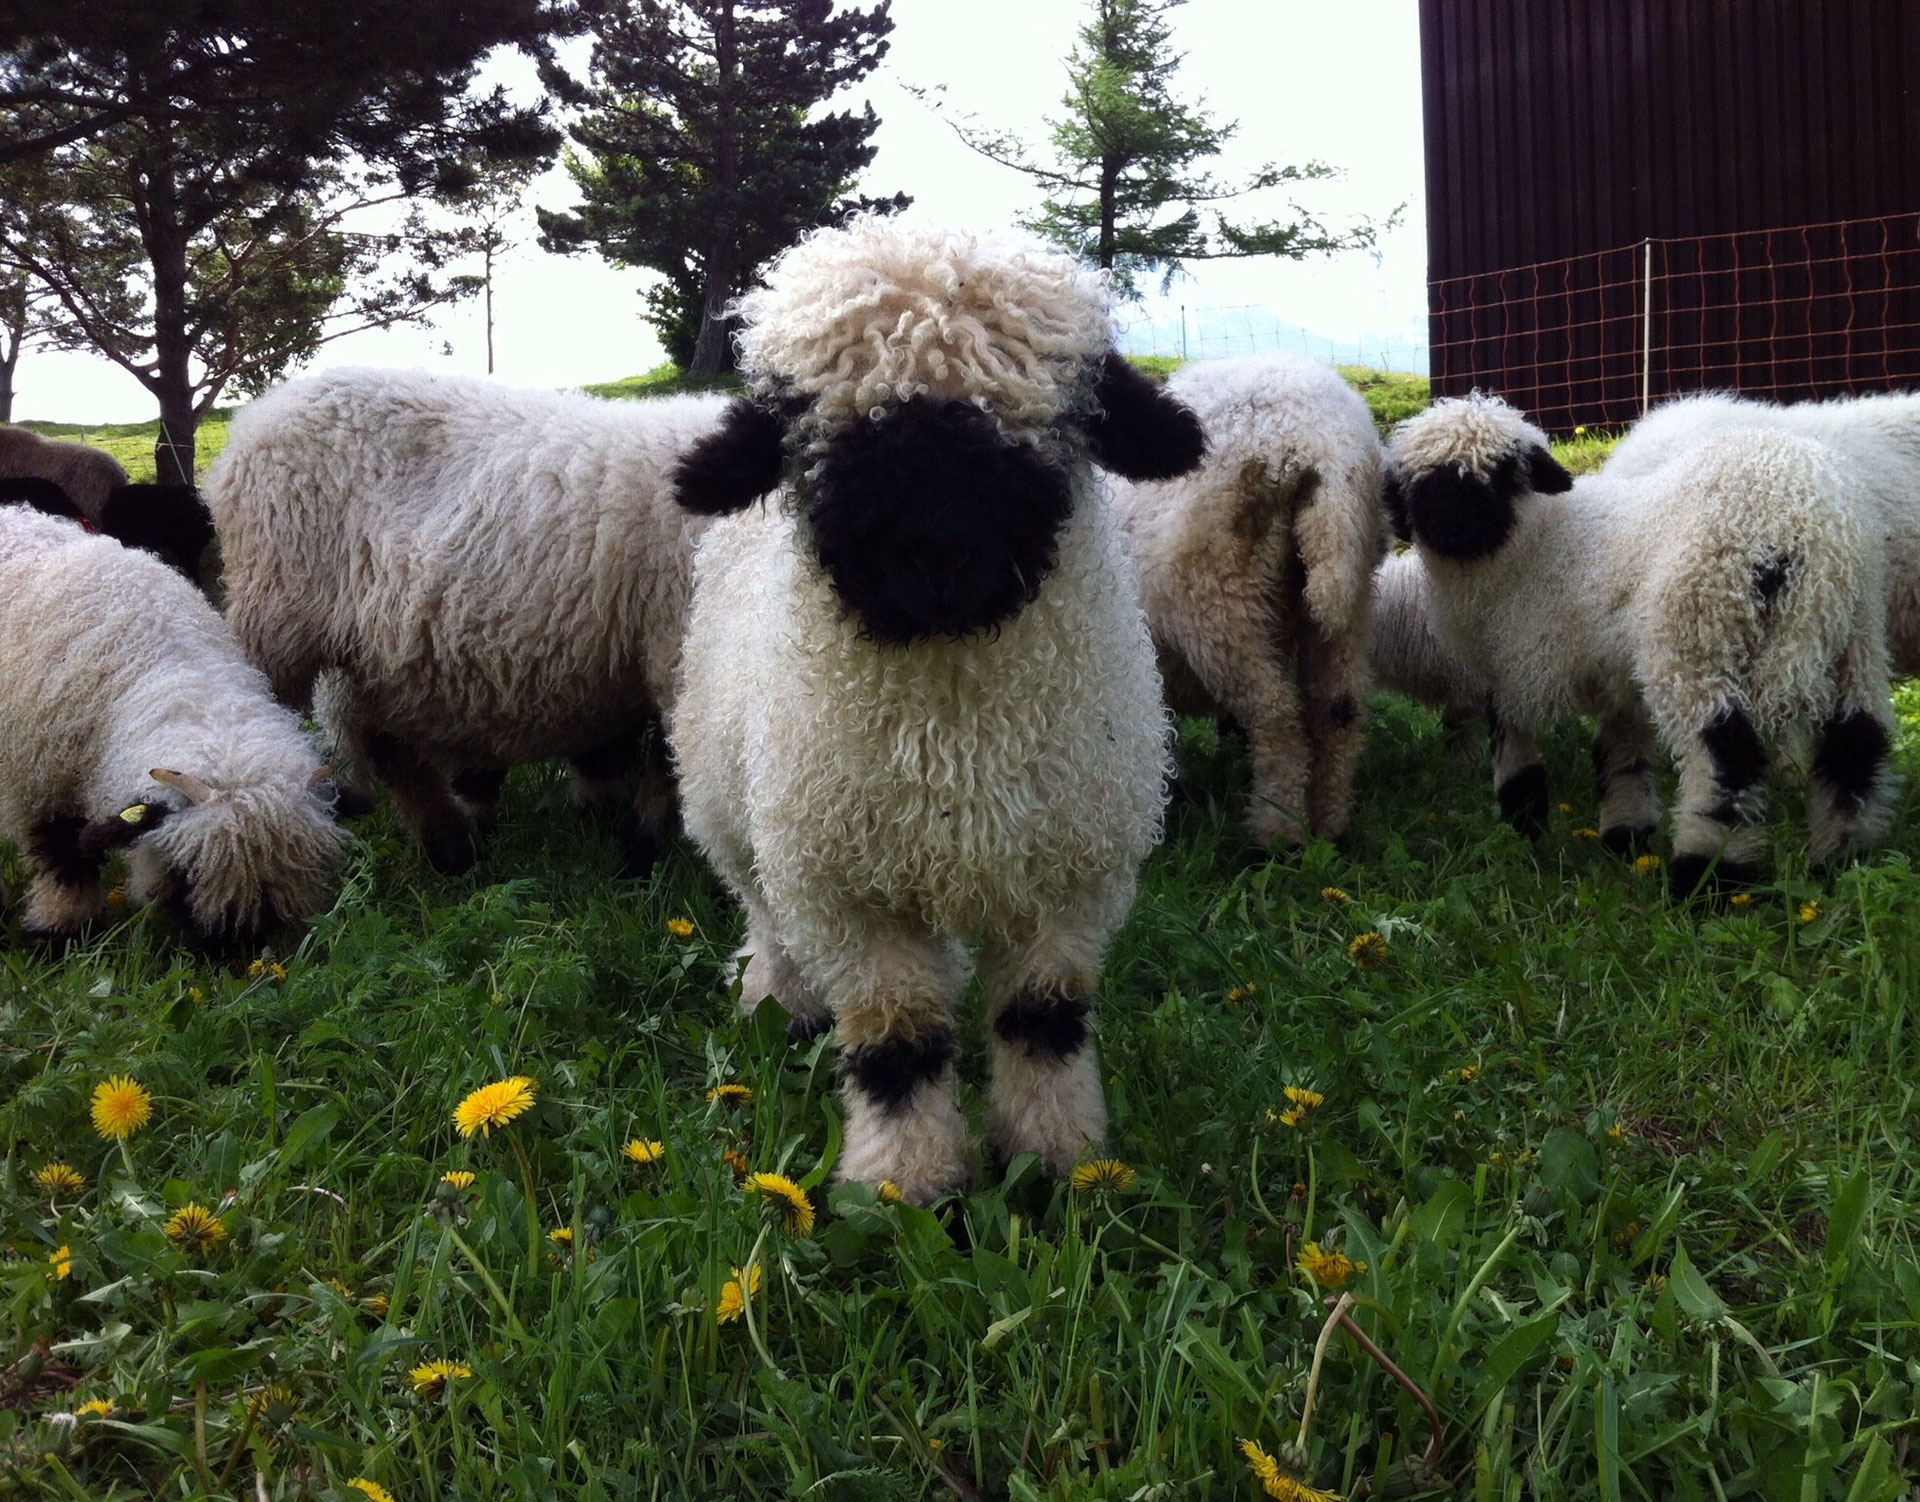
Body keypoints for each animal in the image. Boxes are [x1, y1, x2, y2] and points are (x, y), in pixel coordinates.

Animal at [204, 367, 735, 876]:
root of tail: (256, 418)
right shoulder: (676, 657)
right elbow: (668, 773)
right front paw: (639, 859)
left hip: (370, 654)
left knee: (387, 747)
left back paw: (451, 848)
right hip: (278, 618)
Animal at [667, 217, 1205, 1202]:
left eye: (1043, 423)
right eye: (822, 431)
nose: (938, 556)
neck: (955, 739)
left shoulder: (1070, 872)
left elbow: (1044, 1022)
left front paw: (1056, 1163)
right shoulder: (847, 891)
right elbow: (898, 1041)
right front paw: (906, 1188)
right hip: (734, 807)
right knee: (761, 909)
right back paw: (778, 1001)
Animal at [1107, 354, 1384, 847]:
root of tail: (1320, 439)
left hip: (1220, 598)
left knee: (1277, 716)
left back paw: (1278, 833)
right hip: (1348, 589)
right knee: (1337, 710)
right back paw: (1328, 827)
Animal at [1383, 392, 1894, 897]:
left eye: (1504, 473)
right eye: (1418, 482)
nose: (1451, 527)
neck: (1534, 543)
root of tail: (1795, 521)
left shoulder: (1512, 668)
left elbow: (1517, 763)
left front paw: (1524, 834)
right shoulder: (1618, 677)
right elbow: (1621, 756)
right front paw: (1623, 837)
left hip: (1697, 635)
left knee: (1725, 756)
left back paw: (1705, 879)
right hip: (1857, 634)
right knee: (1857, 743)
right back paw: (1841, 863)